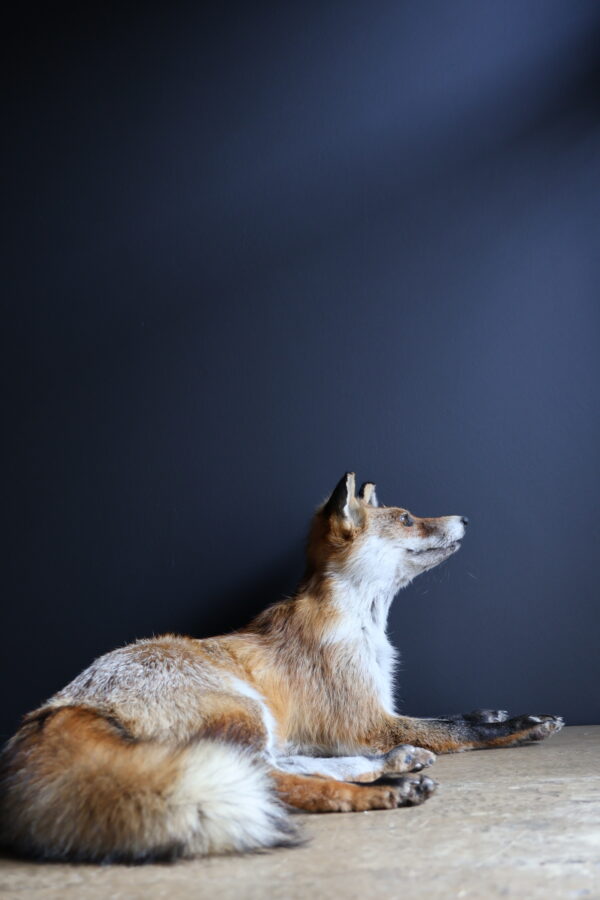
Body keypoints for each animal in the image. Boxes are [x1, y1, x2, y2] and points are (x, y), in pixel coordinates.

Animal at [0, 472, 563, 863]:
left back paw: (390, 766)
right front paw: (521, 725)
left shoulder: (377, 716)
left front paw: (491, 714)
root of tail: (57, 706)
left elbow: (456, 717)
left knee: (279, 767)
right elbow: (457, 729)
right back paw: (386, 789)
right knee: (268, 782)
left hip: (257, 724)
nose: (466, 519)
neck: (364, 627)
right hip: (243, 709)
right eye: (407, 518)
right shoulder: (368, 721)